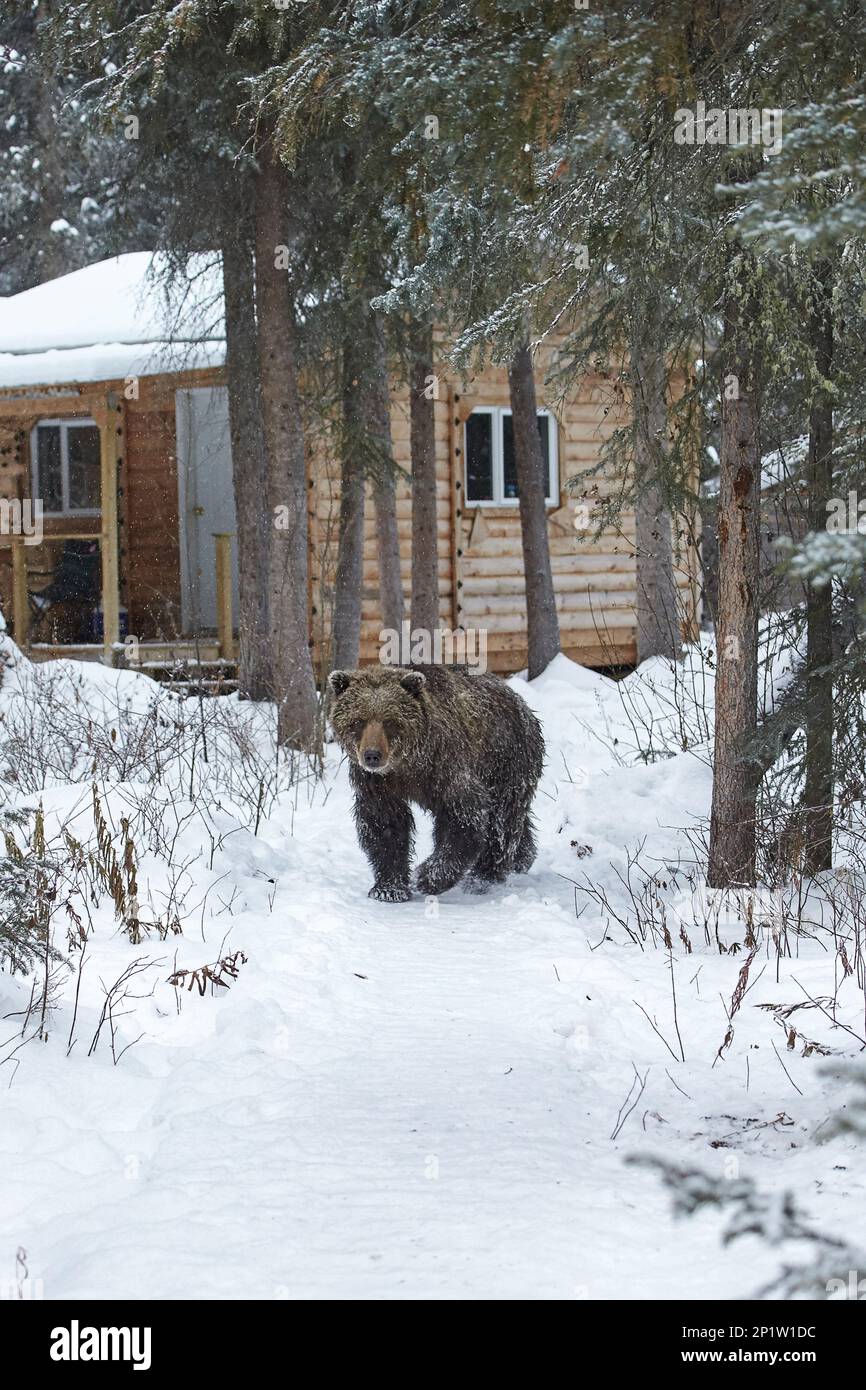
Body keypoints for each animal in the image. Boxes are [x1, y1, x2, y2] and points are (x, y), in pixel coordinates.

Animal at [328, 663, 545, 902]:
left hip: (506, 762)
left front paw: (426, 877)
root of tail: (523, 705)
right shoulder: (377, 783)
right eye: (358, 721)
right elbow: (384, 824)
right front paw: (389, 888)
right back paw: (523, 858)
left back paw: (482, 878)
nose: (372, 755)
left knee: (502, 820)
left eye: (390, 721)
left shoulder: (445, 768)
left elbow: (465, 819)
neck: (407, 764)